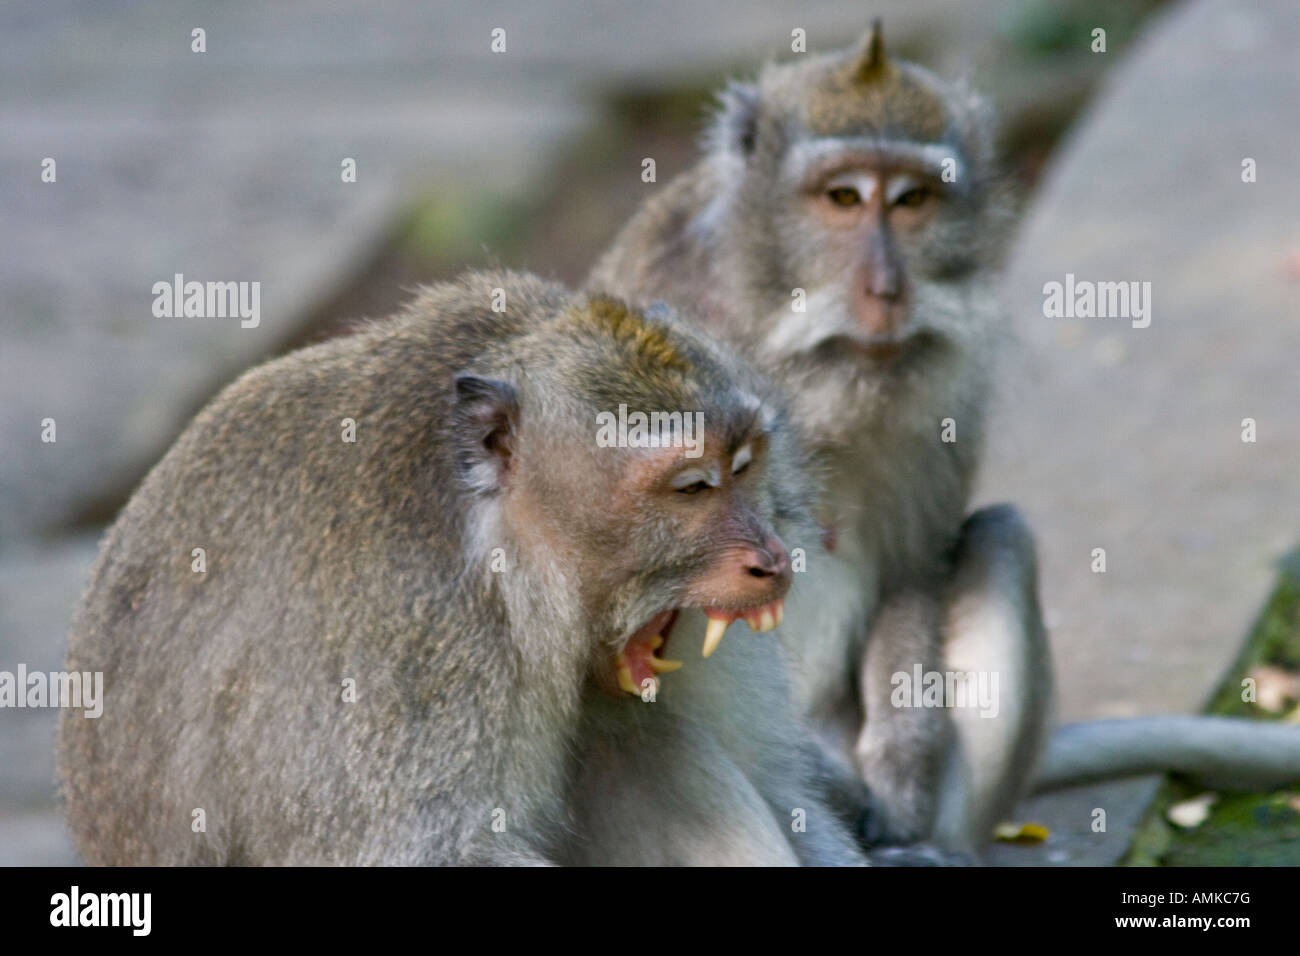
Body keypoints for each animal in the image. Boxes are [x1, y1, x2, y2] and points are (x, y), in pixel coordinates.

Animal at [589, 22, 1300, 853]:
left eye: (913, 200)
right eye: (841, 197)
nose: (887, 289)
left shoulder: (953, 384)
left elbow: (915, 565)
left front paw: (900, 780)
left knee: (1000, 538)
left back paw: (930, 845)